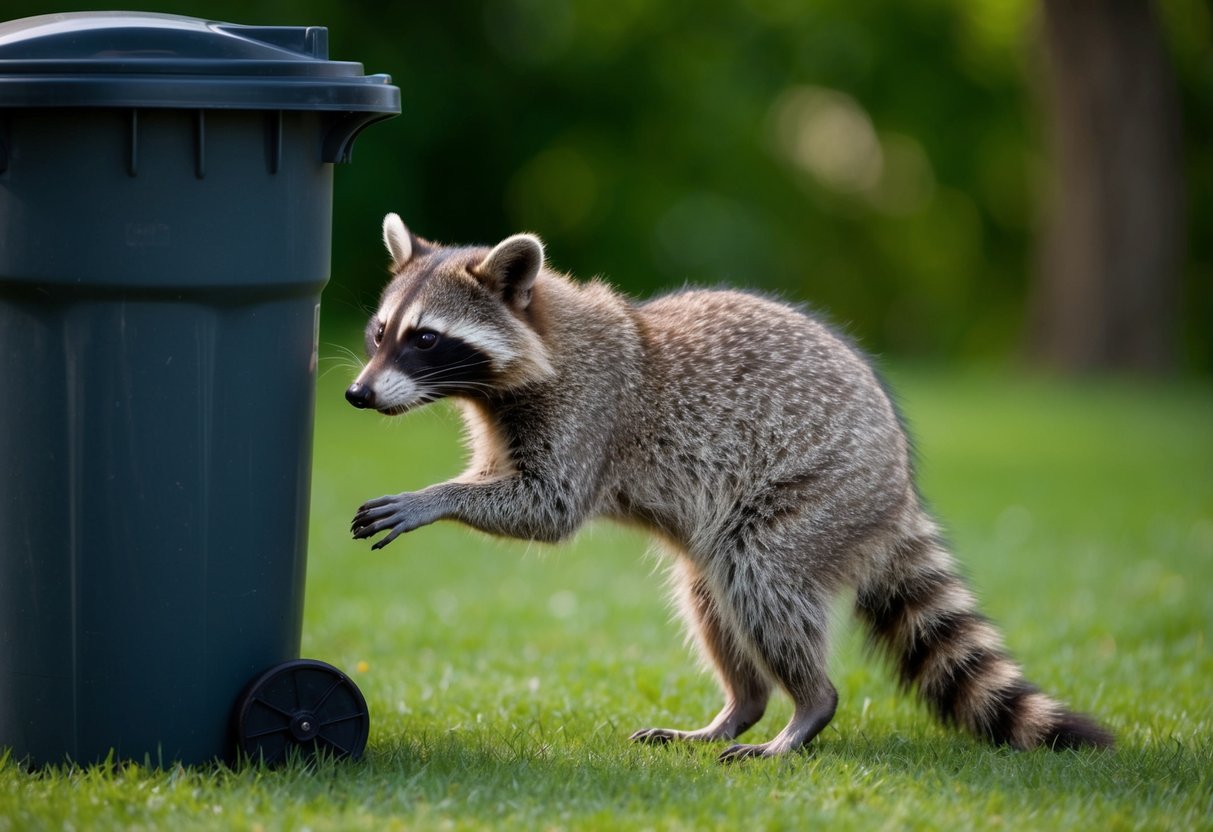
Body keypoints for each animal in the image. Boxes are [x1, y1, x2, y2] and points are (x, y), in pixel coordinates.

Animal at [346, 213, 1113, 760]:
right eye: (380, 332)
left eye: (425, 339)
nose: (357, 394)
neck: (536, 345)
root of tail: (899, 484)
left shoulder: (589, 410)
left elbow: (548, 508)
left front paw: (435, 498)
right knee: (711, 597)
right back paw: (740, 706)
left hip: (819, 494)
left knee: (760, 578)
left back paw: (807, 707)